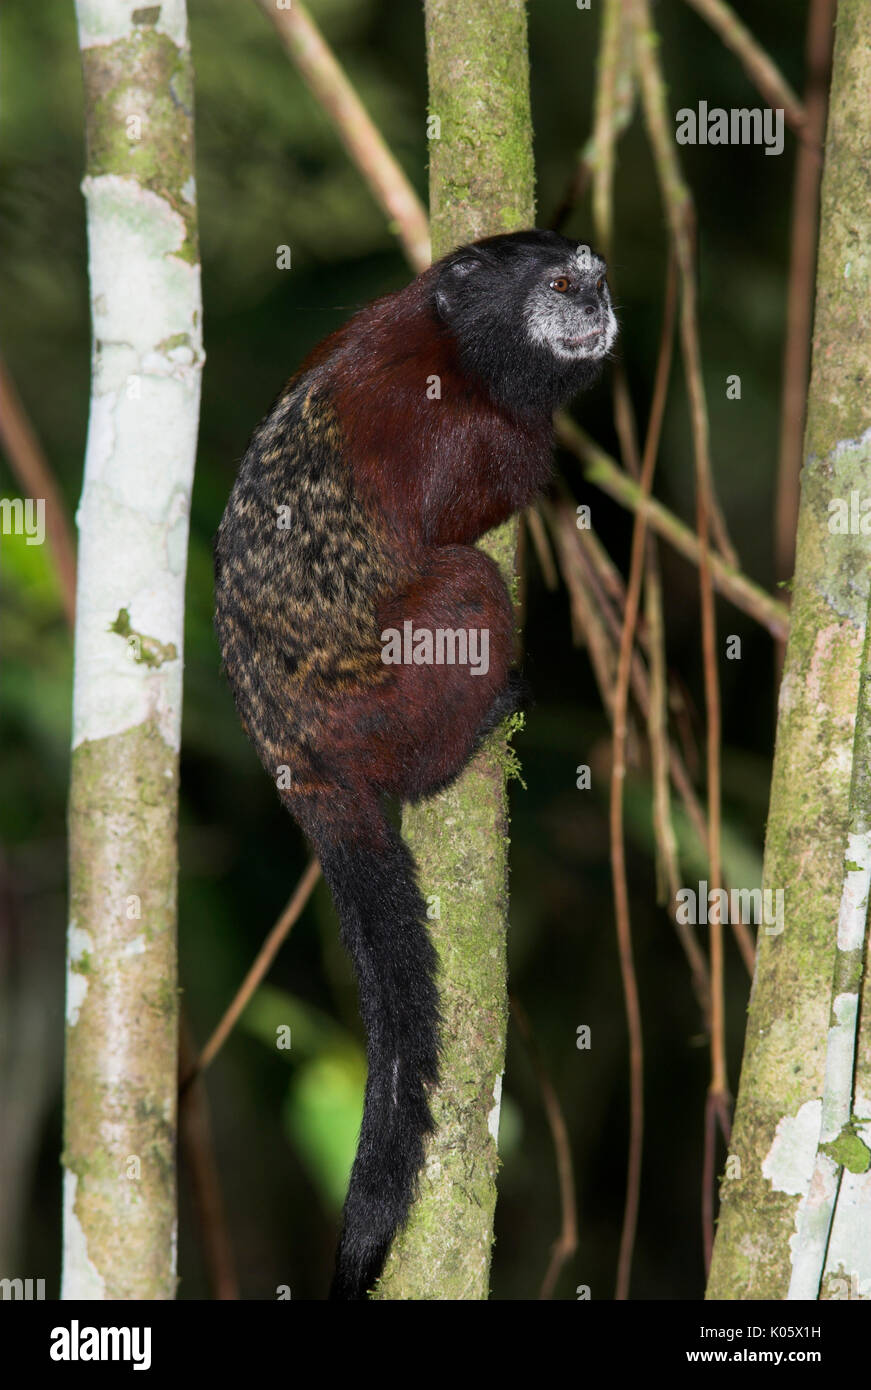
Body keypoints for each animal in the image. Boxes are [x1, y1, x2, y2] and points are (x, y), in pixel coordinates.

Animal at [213, 229, 617, 1300]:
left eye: (594, 279)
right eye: (560, 284)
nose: (598, 307)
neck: (449, 344)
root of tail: (293, 751)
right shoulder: (469, 441)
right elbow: (474, 519)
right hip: (387, 695)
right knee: (469, 583)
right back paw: (469, 740)